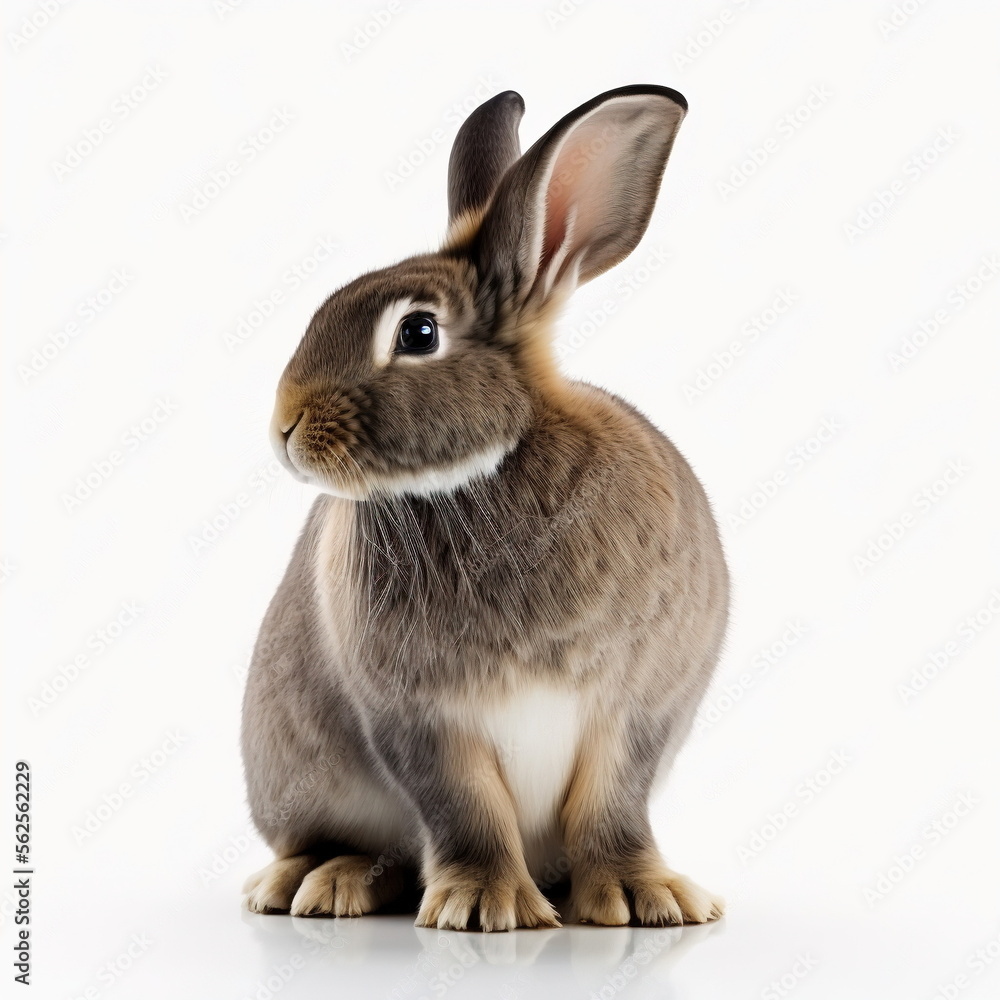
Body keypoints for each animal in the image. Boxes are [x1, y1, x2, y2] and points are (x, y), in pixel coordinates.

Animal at [241, 84, 729, 932]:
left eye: (418, 331)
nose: (285, 427)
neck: (482, 474)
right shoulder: (421, 722)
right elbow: (465, 810)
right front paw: (481, 905)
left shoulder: (638, 710)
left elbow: (614, 807)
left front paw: (646, 898)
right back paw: (320, 882)